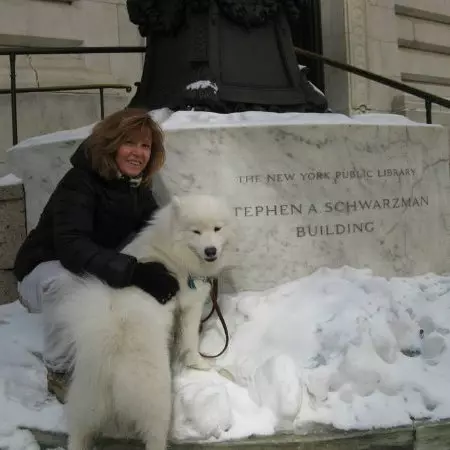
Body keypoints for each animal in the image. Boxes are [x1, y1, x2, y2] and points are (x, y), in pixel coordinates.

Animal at [57, 194, 236, 450]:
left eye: (217, 228)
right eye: (196, 231)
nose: (210, 251)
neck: (172, 253)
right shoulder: (191, 304)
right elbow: (190, 340)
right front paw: (200, 364)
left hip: (87, 401)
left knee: (79, 433)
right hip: (155, 400)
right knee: (154, 434)